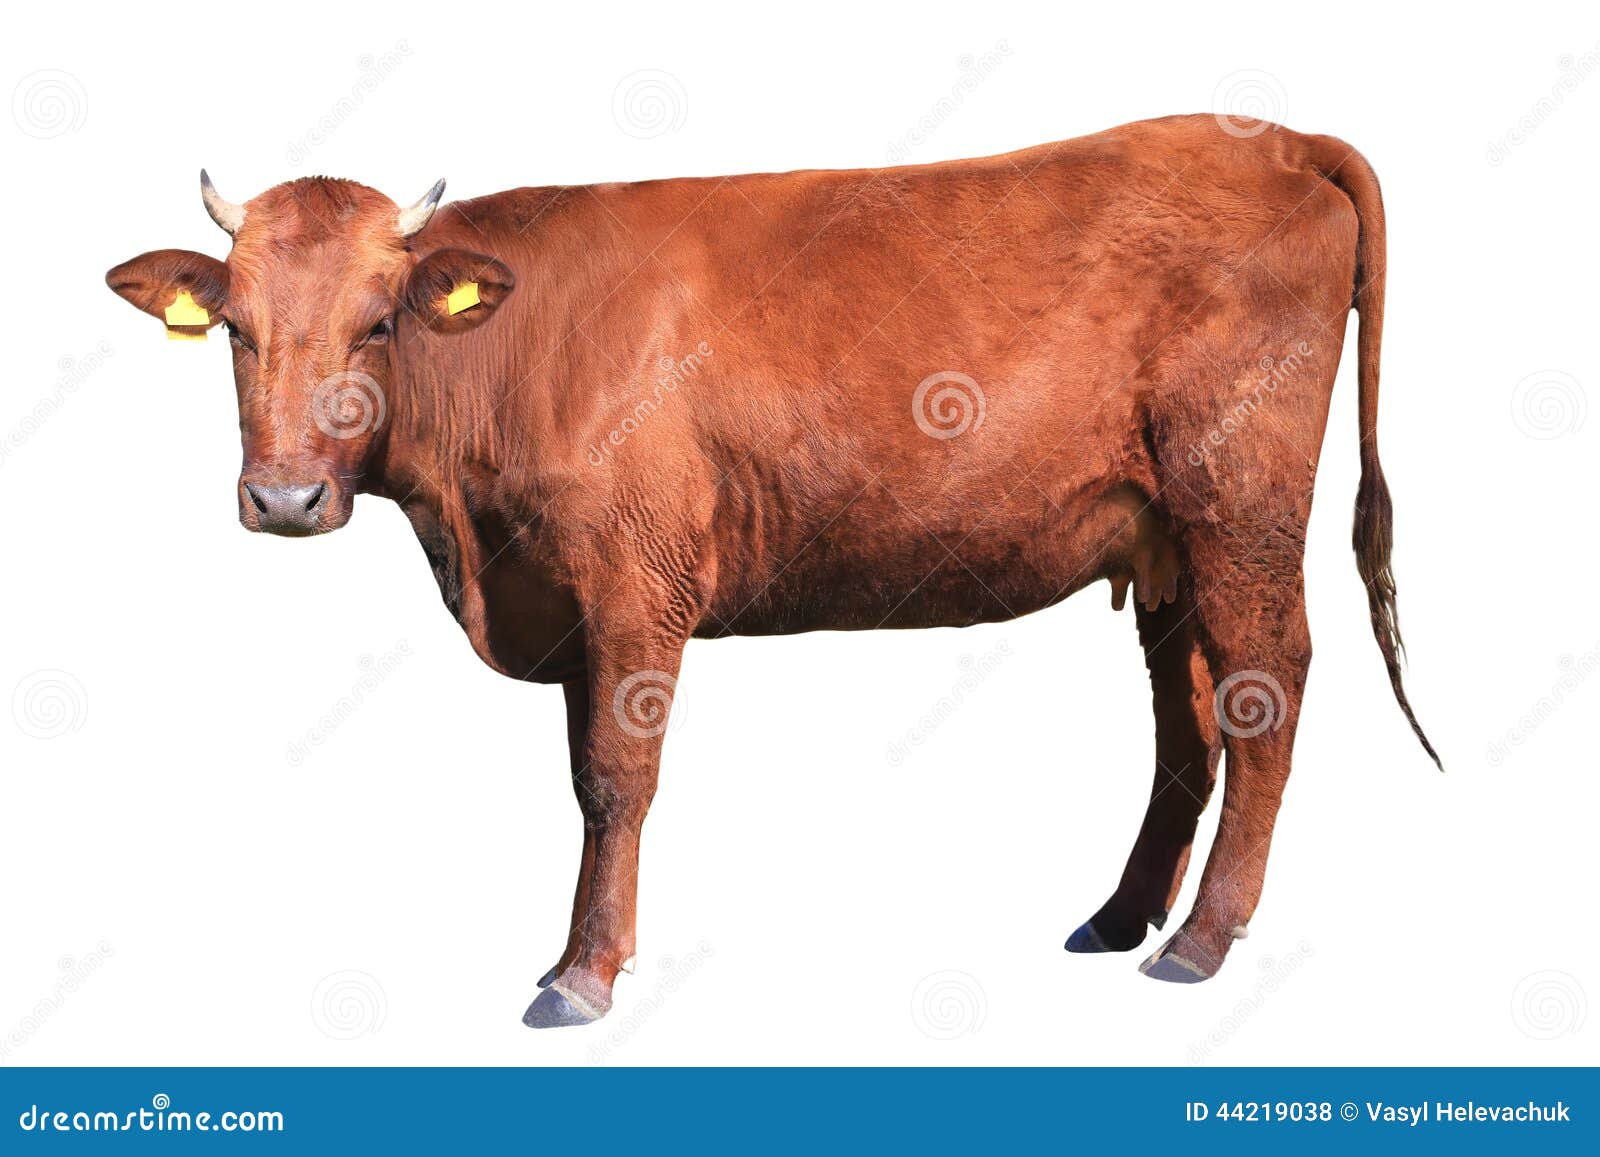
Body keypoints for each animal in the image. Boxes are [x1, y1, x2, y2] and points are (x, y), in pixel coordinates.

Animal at [106, 113, 1437, 1029]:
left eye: (379, 322)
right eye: (236, 331)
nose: (285, 499)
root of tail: (1263, 134)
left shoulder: (634, 584)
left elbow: (614, 782)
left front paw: (581, 974)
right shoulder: (573, 606)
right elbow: (582, 778)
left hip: (1239, 502)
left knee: (1265, 691)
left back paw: (1200, 939)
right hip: (1163, 538)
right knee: (1187, 719)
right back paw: (1119, 918)